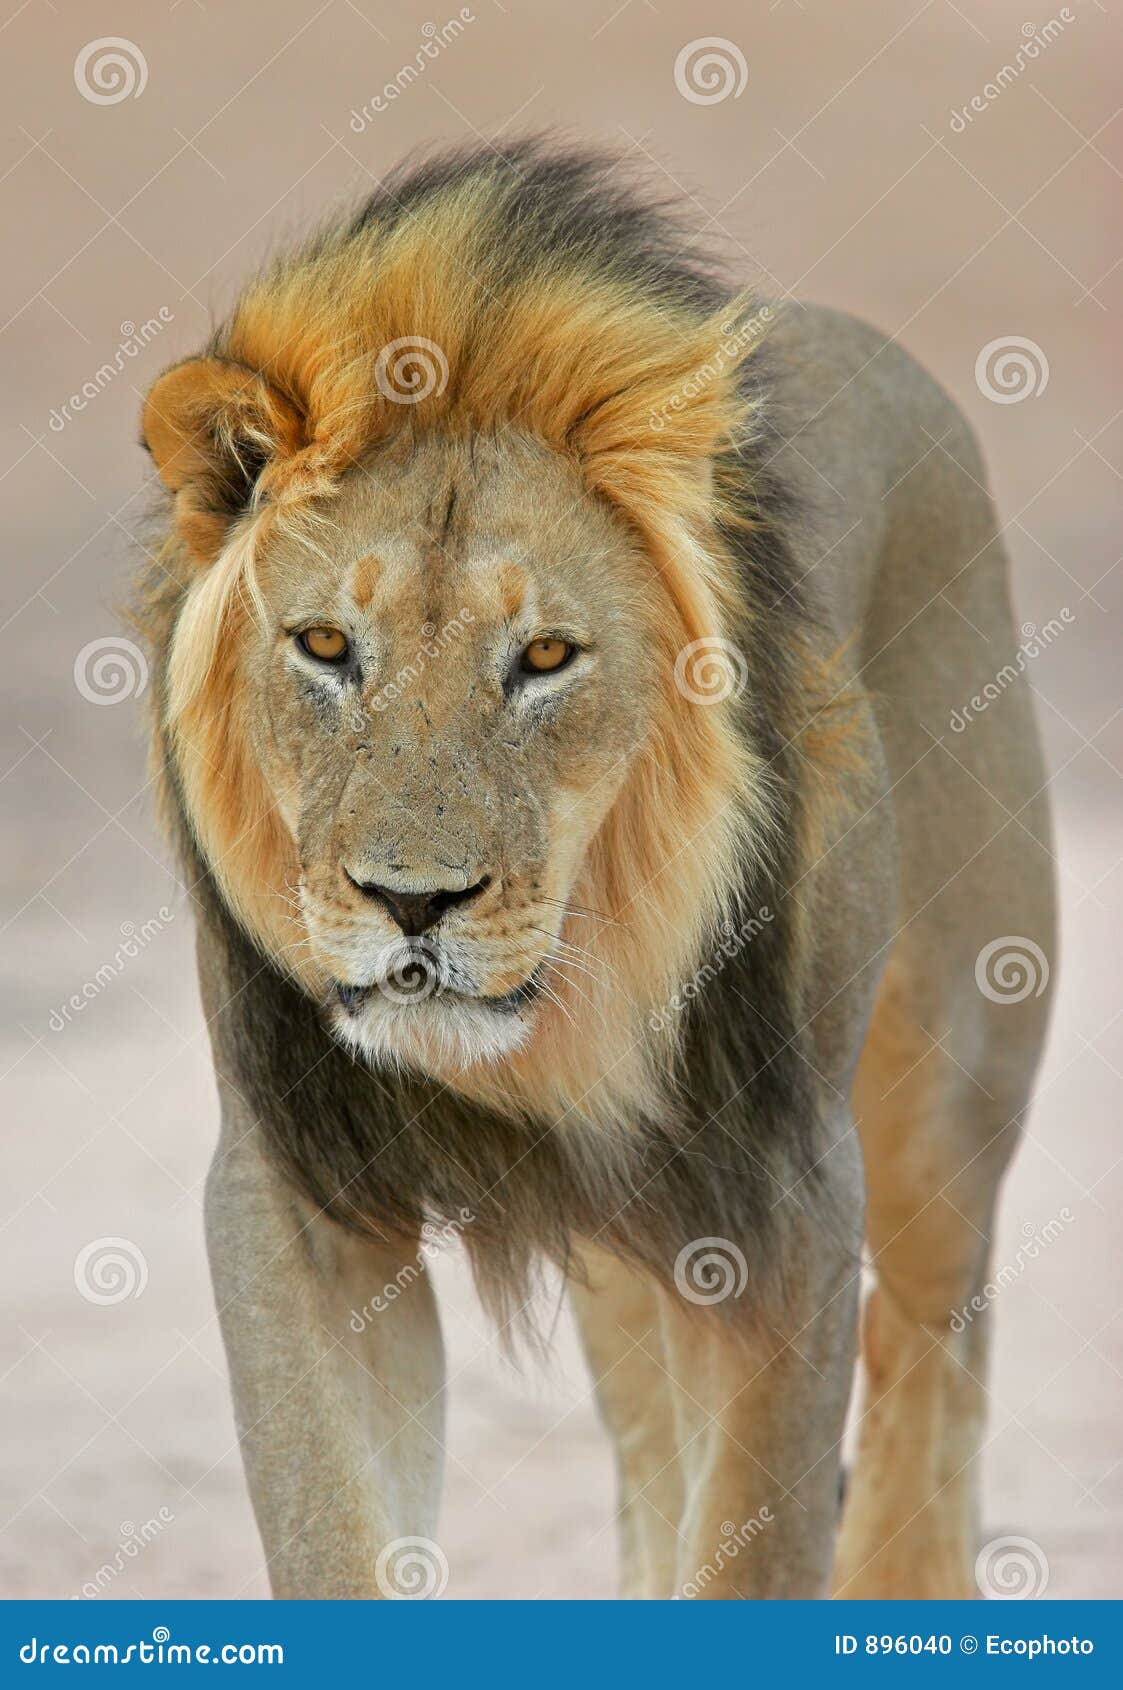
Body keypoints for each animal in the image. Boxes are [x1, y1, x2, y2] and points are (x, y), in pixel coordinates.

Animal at [134, 140, 1055, 1599]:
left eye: (546, 659)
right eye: (326, 646)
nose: (412, 900)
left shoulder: (784, 1193)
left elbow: (752, 1546)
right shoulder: (298, 1195)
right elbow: (334, 1523)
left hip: (944, 1095)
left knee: (926, 1375)